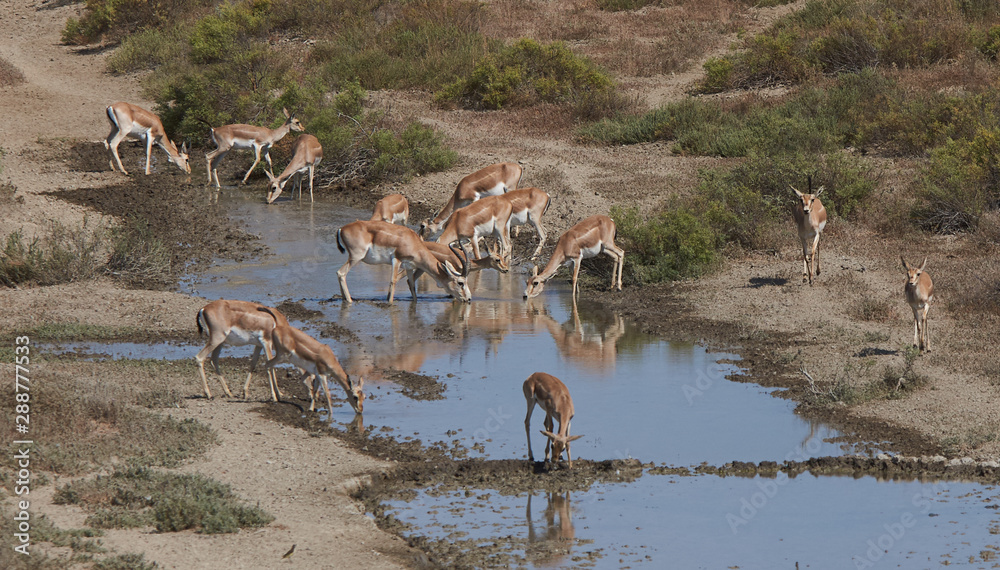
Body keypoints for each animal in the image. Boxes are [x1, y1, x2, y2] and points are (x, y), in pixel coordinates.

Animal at [335, 220, 471, 304]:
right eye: (460, 283)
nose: (468, 299)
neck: (412, 242)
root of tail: (342, 229)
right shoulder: (397, 260)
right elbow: (393, 281)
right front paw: (390, 303)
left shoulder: (410, 267)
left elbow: (411, 284)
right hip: (356, 257)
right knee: (341, 273)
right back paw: (350, 301)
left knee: (340, 274)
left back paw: (343, 299)